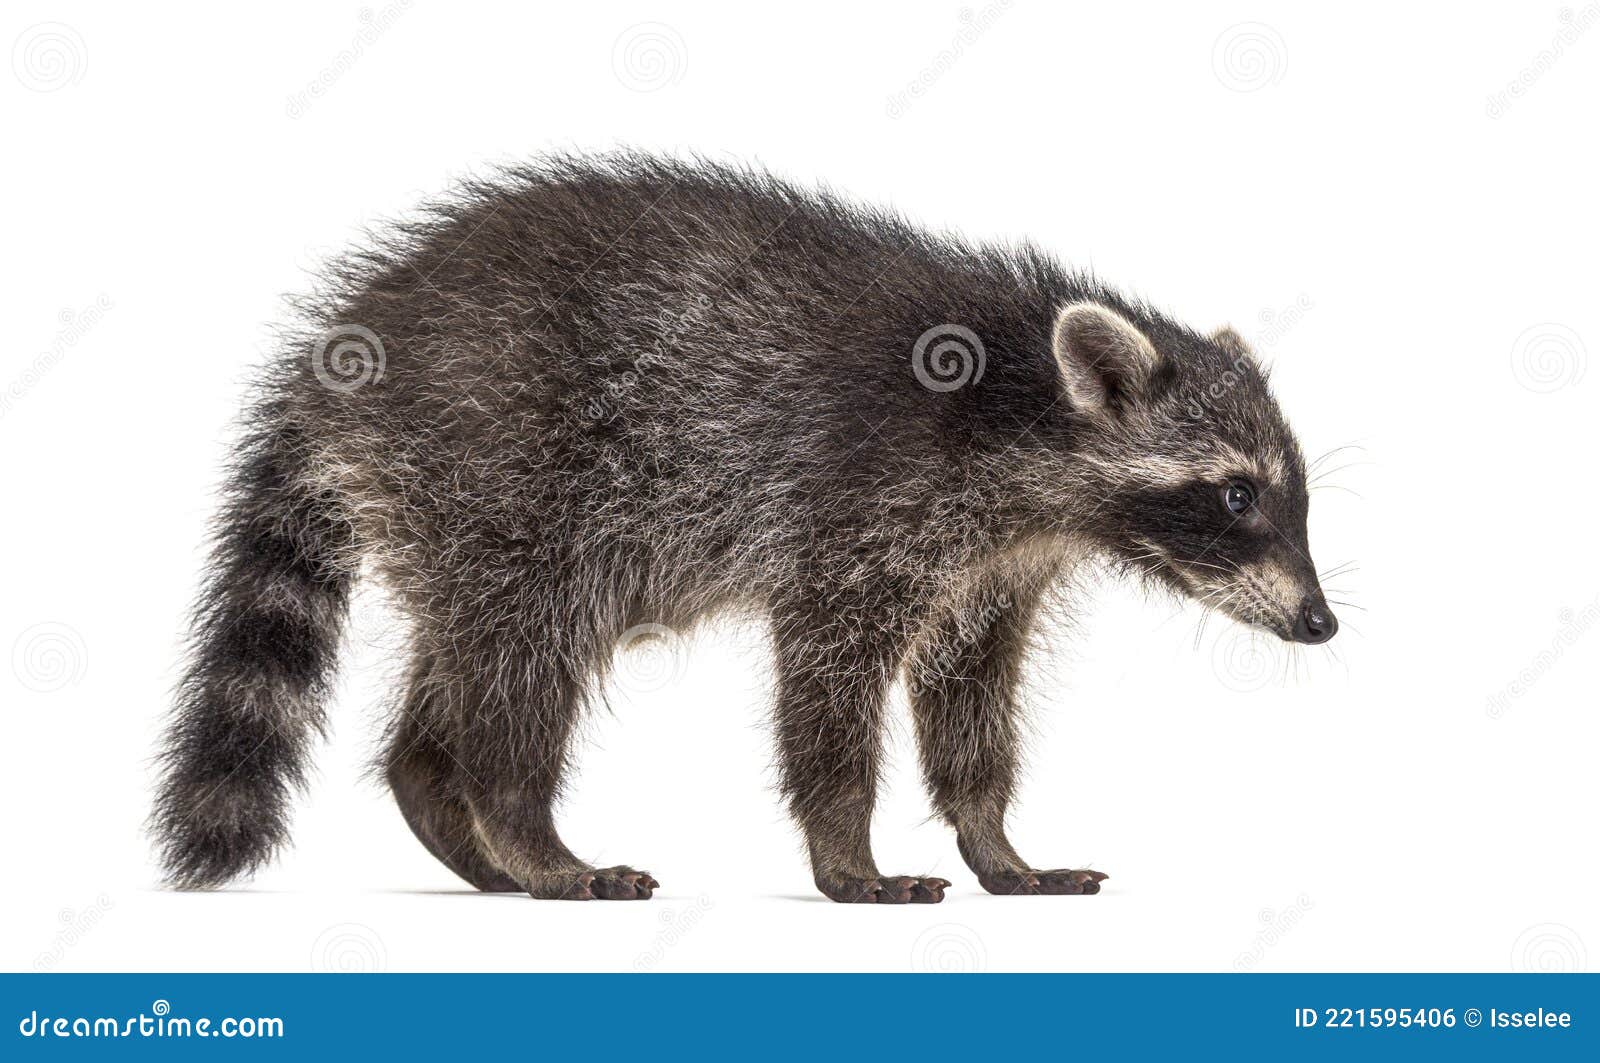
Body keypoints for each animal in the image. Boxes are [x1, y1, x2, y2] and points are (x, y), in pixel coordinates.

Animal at [151, 153, 1337, 903]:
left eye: (1296, 499)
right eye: (1237, 495)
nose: (1321, 623)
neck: (1024, 399)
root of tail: (356, 340)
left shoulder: (994, 564)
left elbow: (969, 696)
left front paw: (994, 836)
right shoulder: (860, 510)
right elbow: (826, 683)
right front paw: (847, 851)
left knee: (475, 654)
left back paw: (452, 807)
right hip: (502, 467)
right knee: (524, 652)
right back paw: (519, 822)